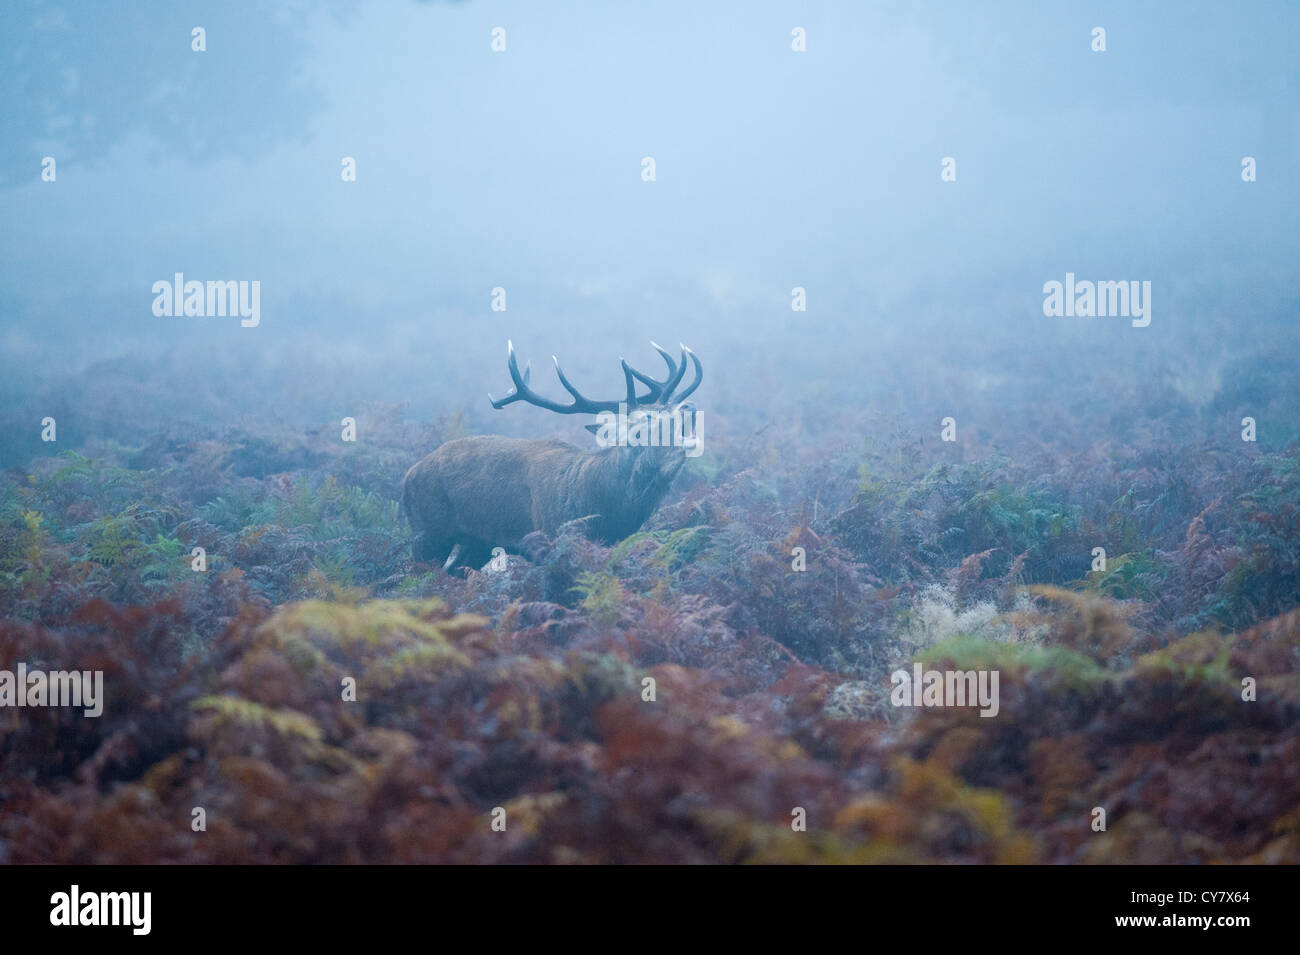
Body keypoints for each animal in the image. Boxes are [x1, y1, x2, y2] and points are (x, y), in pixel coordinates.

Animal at [401, 341, 703, 571]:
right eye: (642, 425)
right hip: (427, 532)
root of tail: (407, 477)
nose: (688, 406)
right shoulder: (548, 538)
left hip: (475, 542)